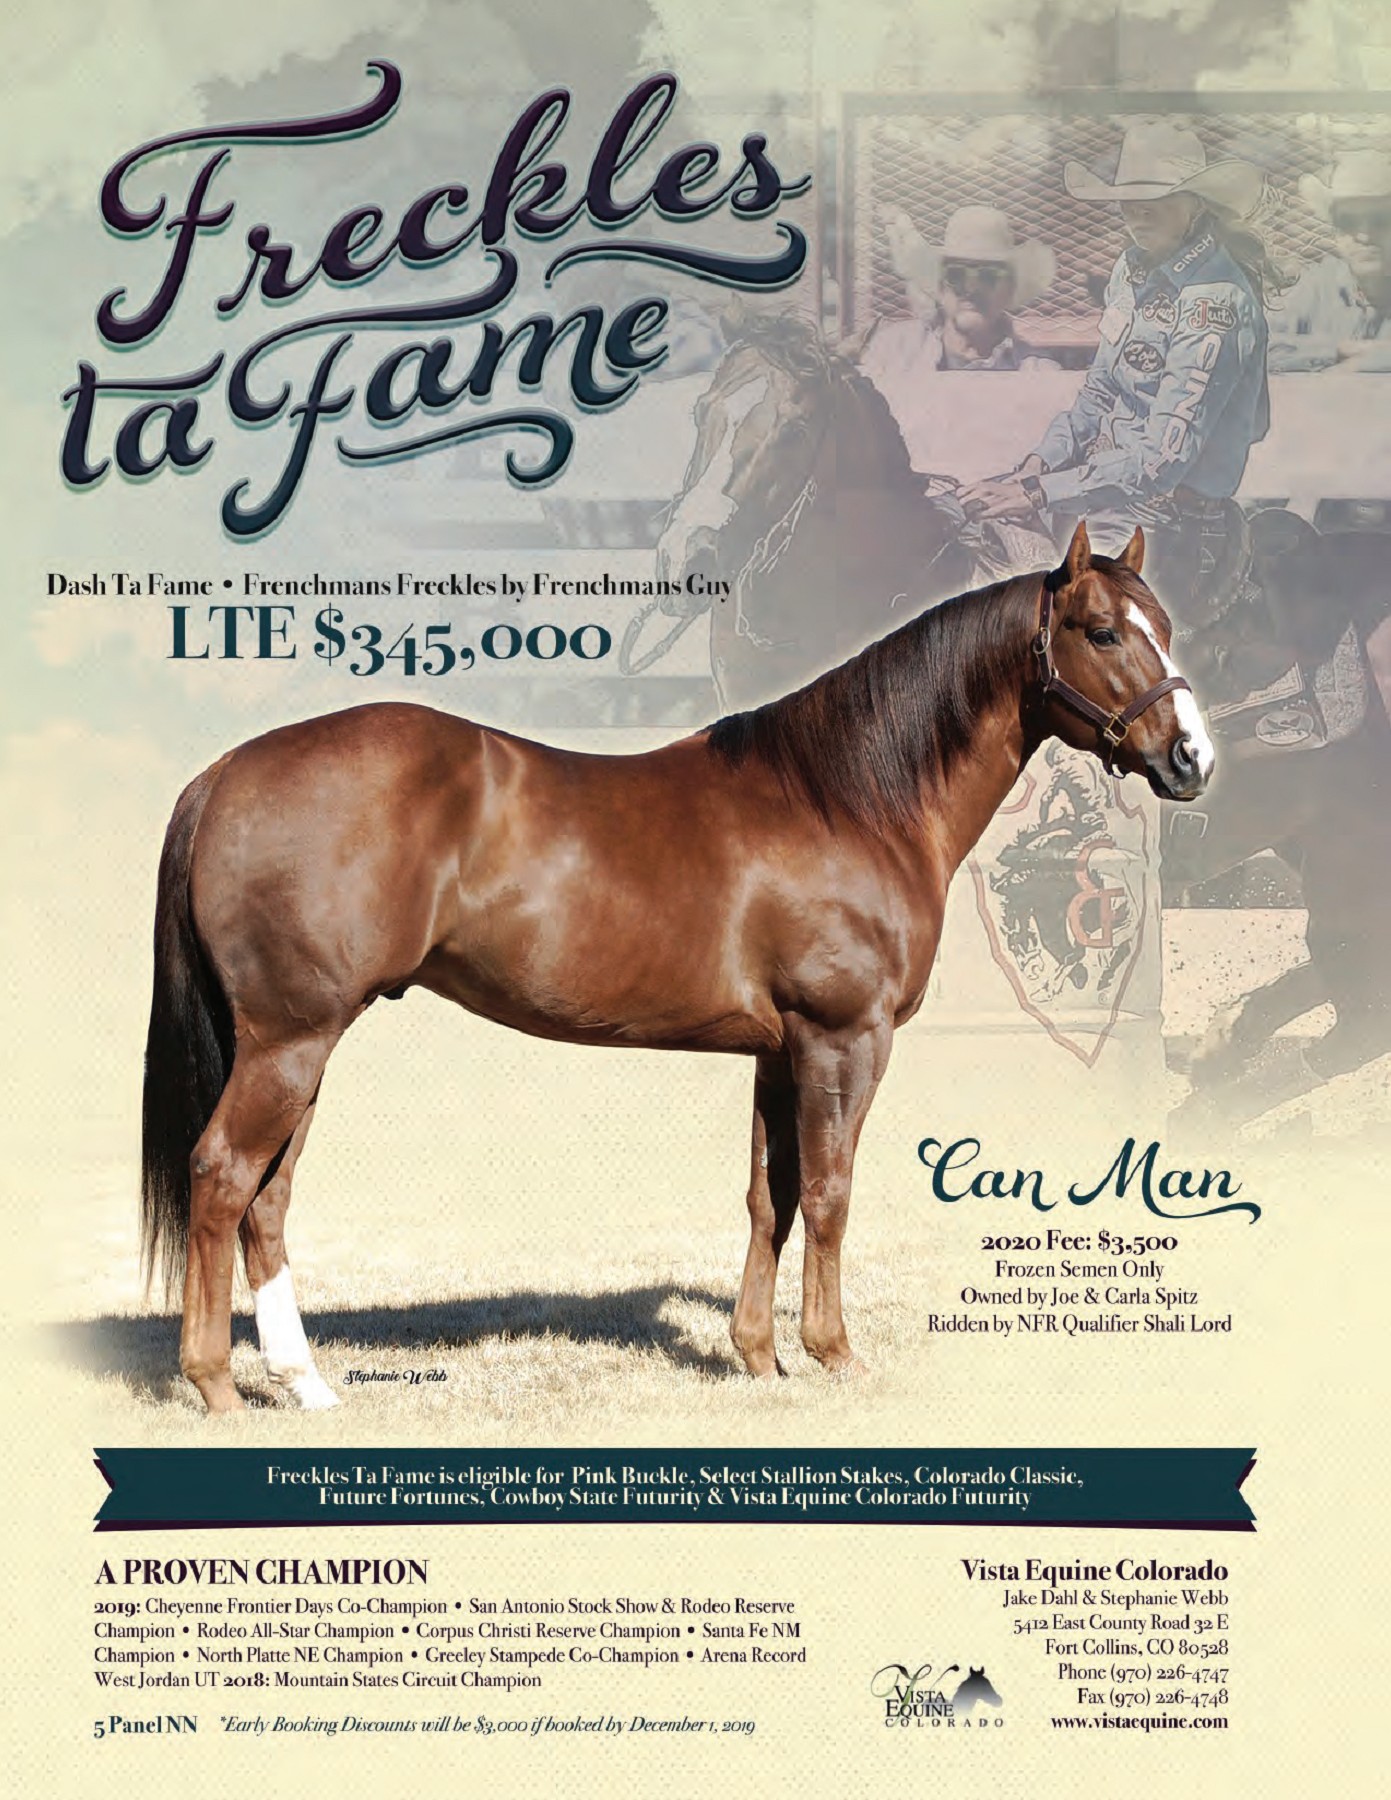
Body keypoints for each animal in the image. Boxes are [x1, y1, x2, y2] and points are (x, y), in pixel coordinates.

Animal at [141, 522, 1211, 1414]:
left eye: (1163, 625)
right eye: (1101, 632)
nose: (1191, 759)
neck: (847, 798)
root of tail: (227, 772)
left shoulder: (780, 1052)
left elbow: (772, 1196)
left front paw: (758, 1357)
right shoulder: (844, 1039)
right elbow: (830, 1192)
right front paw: (834, 1355)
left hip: (298, 1045)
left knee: (267, 1199)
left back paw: (306, 1385)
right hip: (291, 1038)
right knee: (223, 1176)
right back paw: (216, 1386)